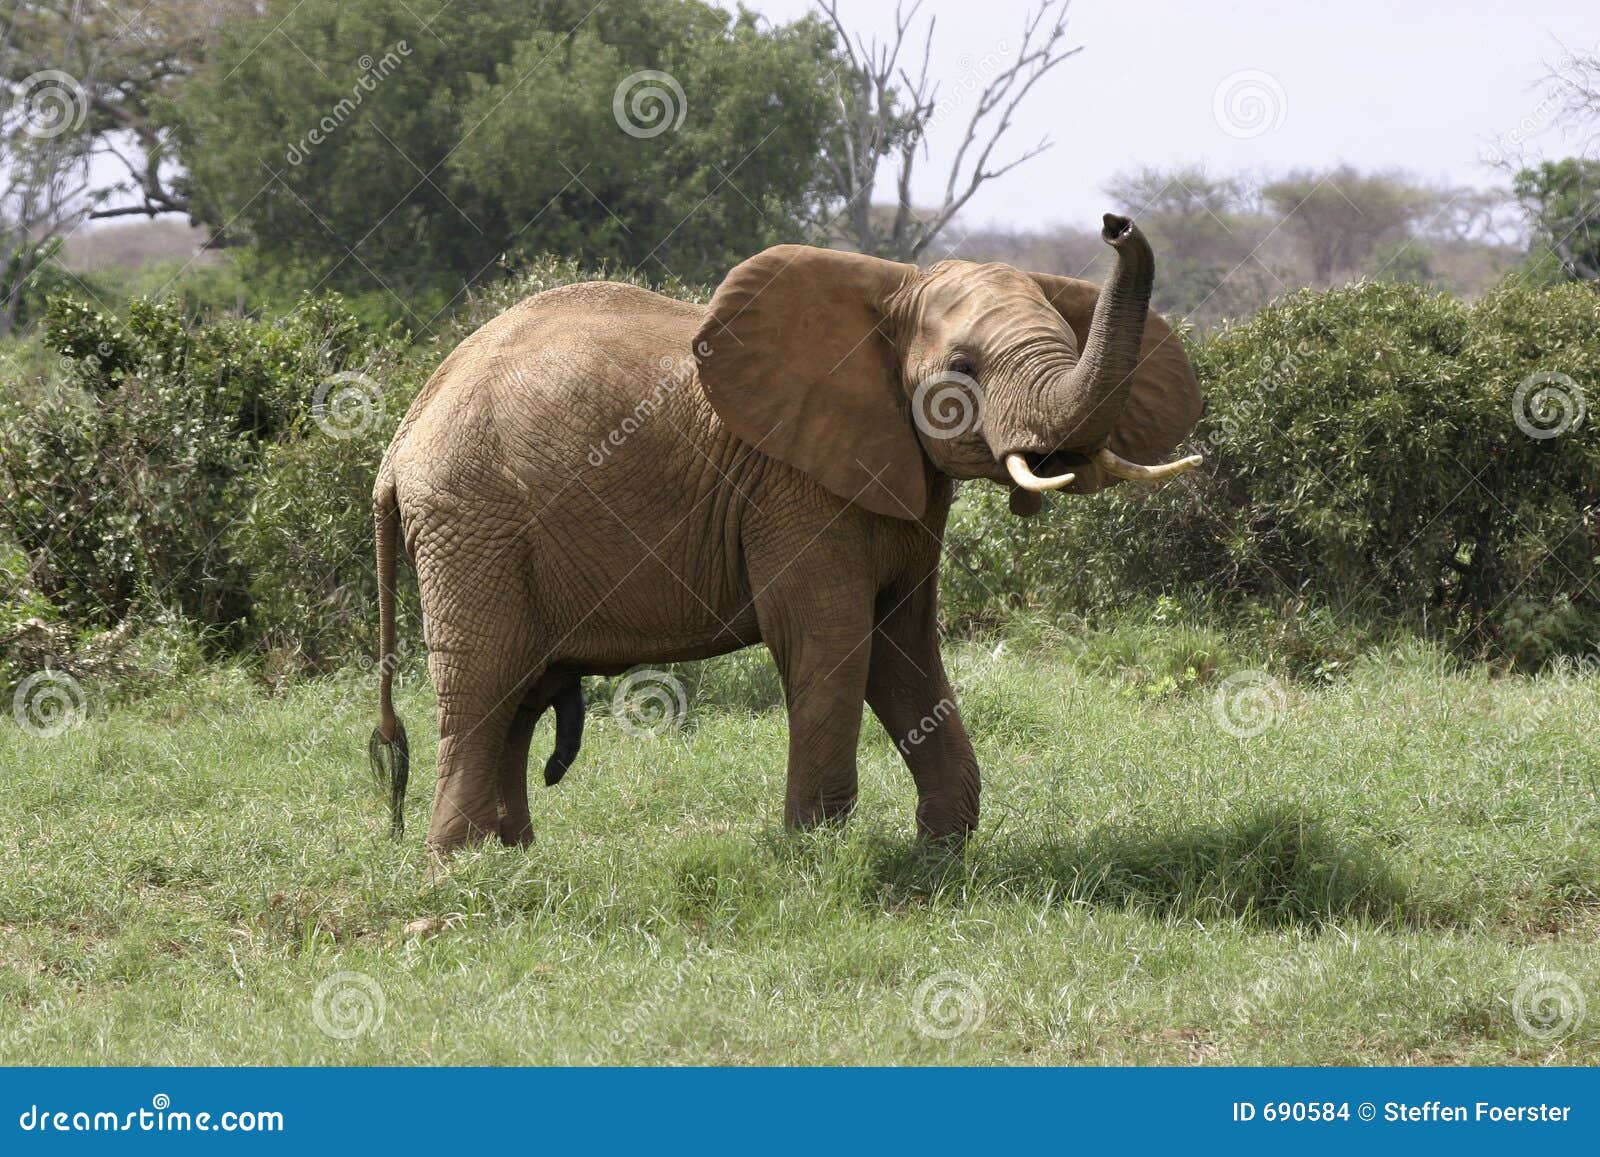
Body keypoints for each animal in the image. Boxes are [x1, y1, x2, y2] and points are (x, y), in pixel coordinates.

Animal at [369, 213, 1202, 857]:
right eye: (962, 370)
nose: (1115, 223)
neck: (887, 297)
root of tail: (401, 439)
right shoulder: (793, 487)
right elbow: (828, 638)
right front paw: (816, 854)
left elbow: (903, 646)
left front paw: (941, 854)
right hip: (470, 517)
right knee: (485, 682)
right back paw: (463, 868)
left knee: (519, 695)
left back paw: (513, 858)